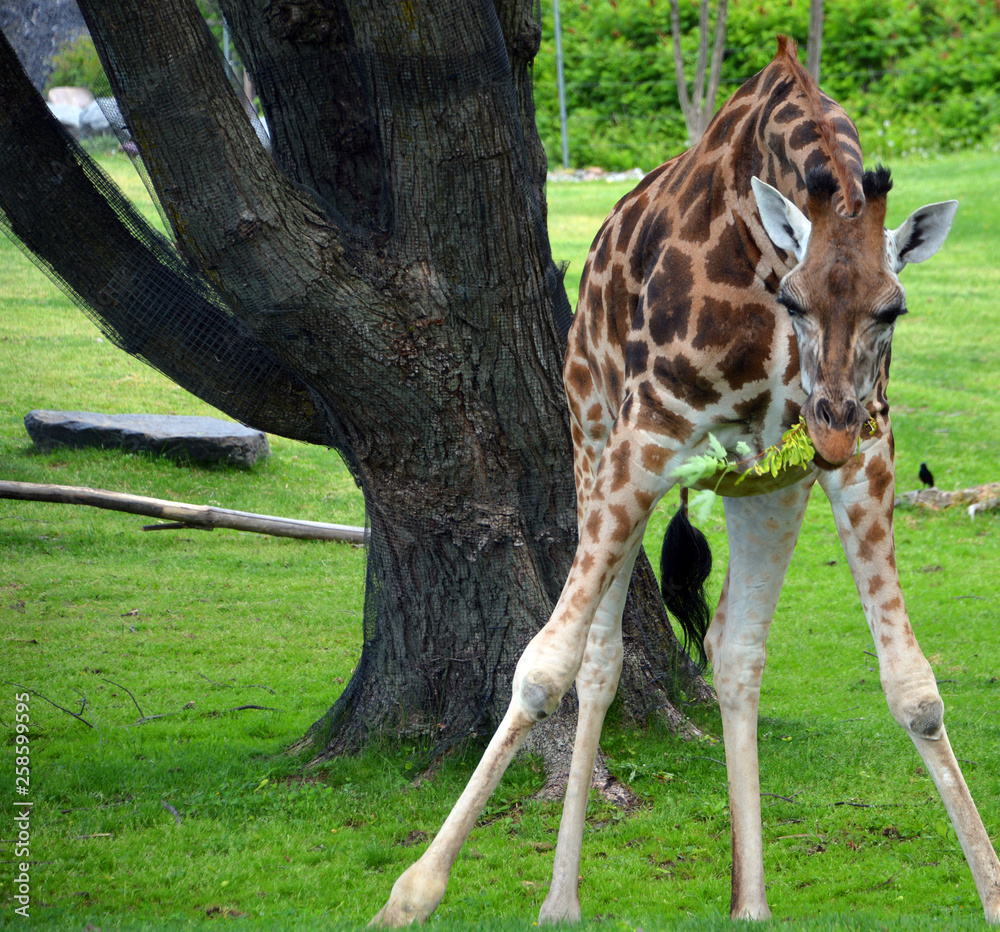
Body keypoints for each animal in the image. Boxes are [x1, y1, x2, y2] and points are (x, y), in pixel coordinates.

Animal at [371, 37, 1000, 925]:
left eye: (893, 309)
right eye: (794, 301)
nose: (834, 424)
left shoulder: (860, 454)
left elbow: (915, 688)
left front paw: (993, 893)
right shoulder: (650, 429)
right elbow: (542, 665)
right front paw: (410, 895)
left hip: (767, 482)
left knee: (733, 647)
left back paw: (750, 904)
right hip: (594, 436)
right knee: (600, 656)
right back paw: (560, 901)